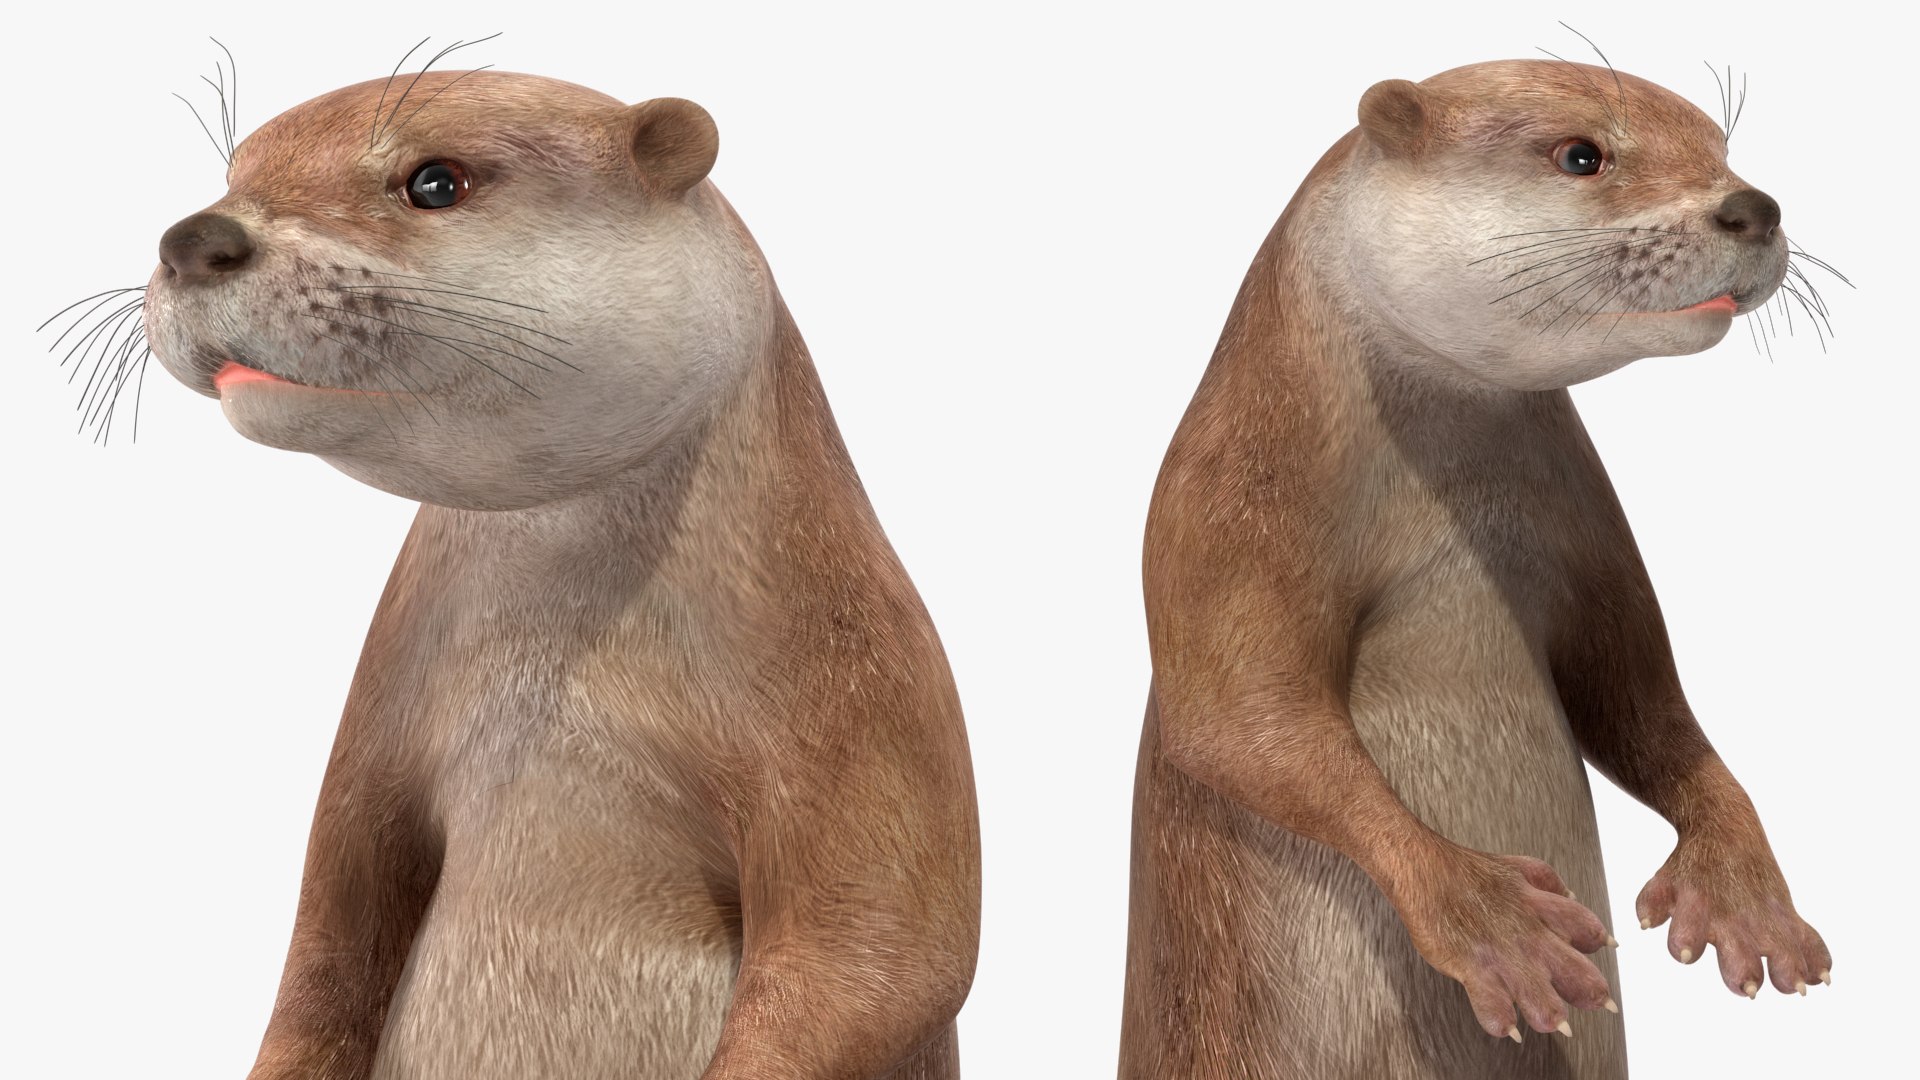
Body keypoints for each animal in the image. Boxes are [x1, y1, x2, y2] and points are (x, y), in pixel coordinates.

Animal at [1118, 60, 1830, 1079]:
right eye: (1582, 155)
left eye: (1722, 146)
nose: (1754, 206)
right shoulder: (1228, 495)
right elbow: (1230, 720)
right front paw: (1494, 920)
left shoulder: (1582, 519)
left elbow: (1637, 692)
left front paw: (1744, 894)